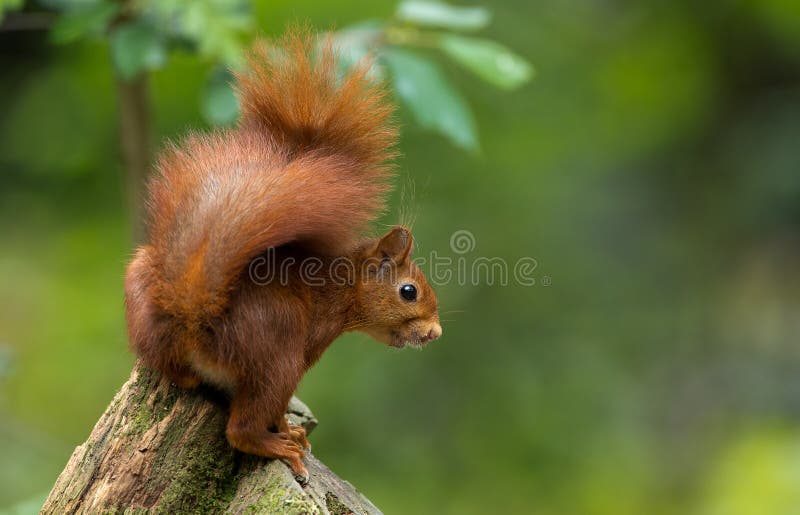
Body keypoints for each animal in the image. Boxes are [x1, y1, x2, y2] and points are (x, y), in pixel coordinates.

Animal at [123, 30, 442, 481]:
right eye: (408, 291)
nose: (435, 333)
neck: (343, 287)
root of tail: (195, 322)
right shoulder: (311, 340)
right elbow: (274, 410)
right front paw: (287, 428)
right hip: (278, 353)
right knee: (240, 428)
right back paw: (278, 445)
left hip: (140, 285)